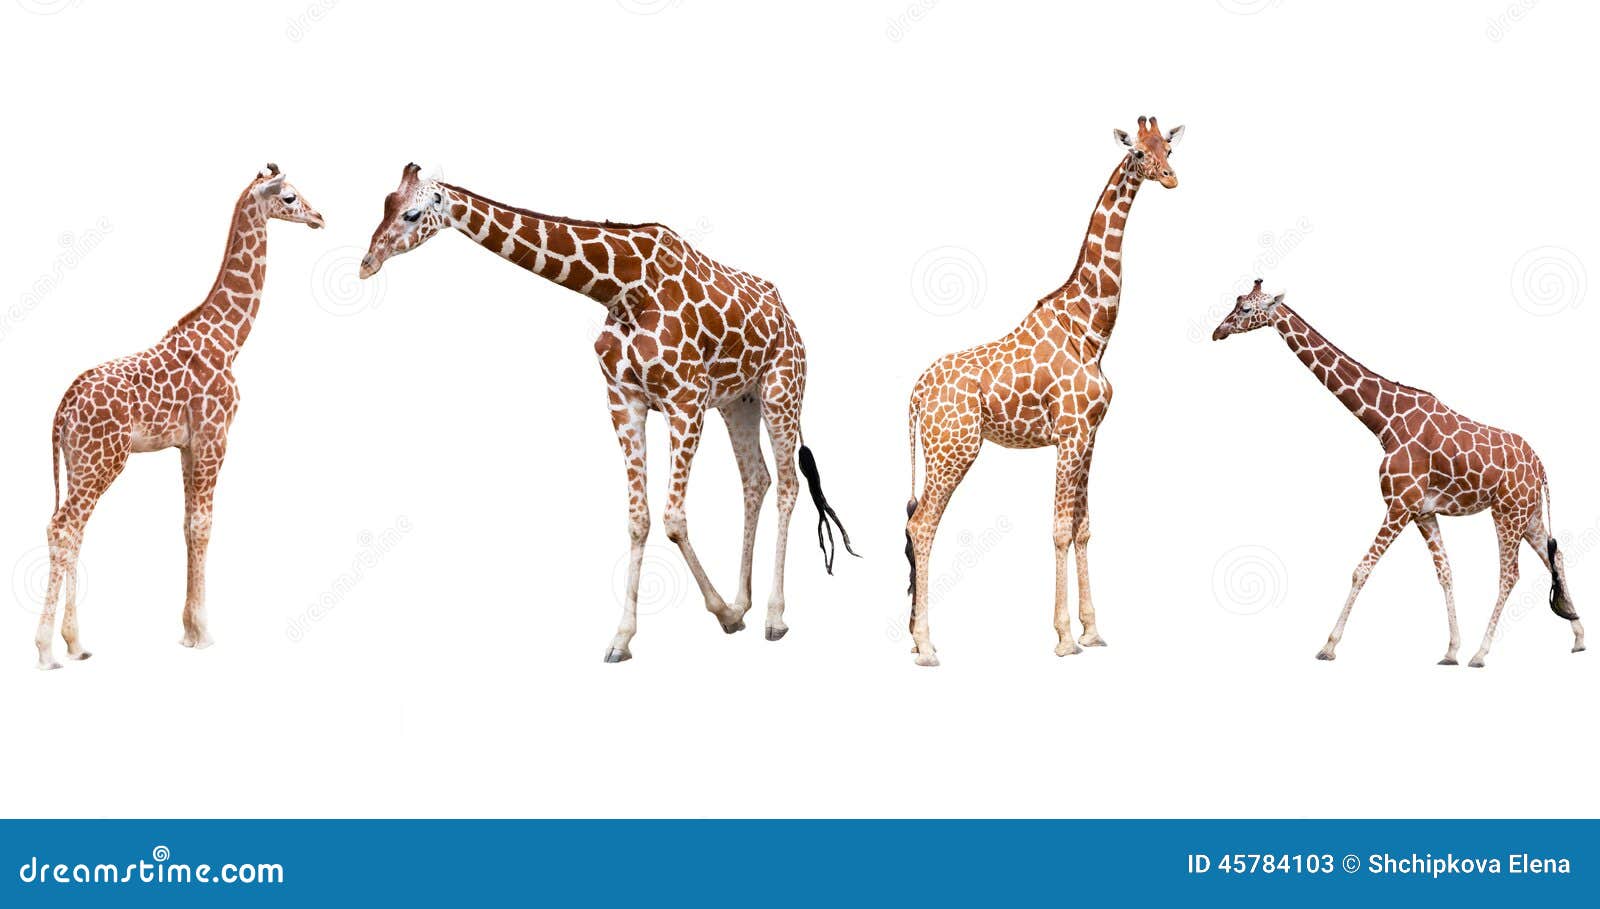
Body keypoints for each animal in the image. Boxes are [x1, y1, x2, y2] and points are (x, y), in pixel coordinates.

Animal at [36, 164, 325, 670]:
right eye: (289, 197)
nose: (320, 217)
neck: (231, 339)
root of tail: (61, 408)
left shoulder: (187, 445)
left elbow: (187, 525)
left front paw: (188, 631)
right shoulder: (215, 437)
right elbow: (203, 526)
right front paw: (204, 632)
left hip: (78, 462)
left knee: (74, 532)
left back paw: (76, 643)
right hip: (103, 460)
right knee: (63, 527)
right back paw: (46, 650)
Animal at [358, 164, 855, 662]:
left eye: (411, 213)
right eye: (384, 203)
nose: (367, 264)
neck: (622, 290)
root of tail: (788, 317)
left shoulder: (686, 397)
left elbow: (673, 518)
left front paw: (723, 617)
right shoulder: (624, 400)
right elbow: (639, 519)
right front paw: (623, 637)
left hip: (782, 389)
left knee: (788, 484)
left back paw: (773, 616)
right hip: (739, 401)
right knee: (756, 481)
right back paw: (743, 600)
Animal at [903, 116, 1183, 666]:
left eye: (1168, 146)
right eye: (1138, 153)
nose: (1170, 177)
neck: (1092, 331)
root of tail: (916, 395)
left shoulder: (1090, 436)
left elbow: (1083, 527)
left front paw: (1093, 630)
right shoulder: (1069, 435)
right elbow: (1057, 529)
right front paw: (1064, 638)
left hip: (942, 450)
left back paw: (916, 638)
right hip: (954, 449)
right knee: (922, 525)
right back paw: (925, 646)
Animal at [1212, 280, 1584, 666]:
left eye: (1245, 309)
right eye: (1236, 302)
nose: (1217, 331)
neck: (1386, 422)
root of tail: (1541, 467)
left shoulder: (1399, 505)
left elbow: (1361, 569)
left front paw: (1329, 646)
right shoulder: (1423, 512)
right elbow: (1445, 574)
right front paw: (1450, 649)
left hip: (1507, 512)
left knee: (1510, 575)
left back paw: (1482, 654)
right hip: (1529, 514)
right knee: (1556, 558)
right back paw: (1579, 638)